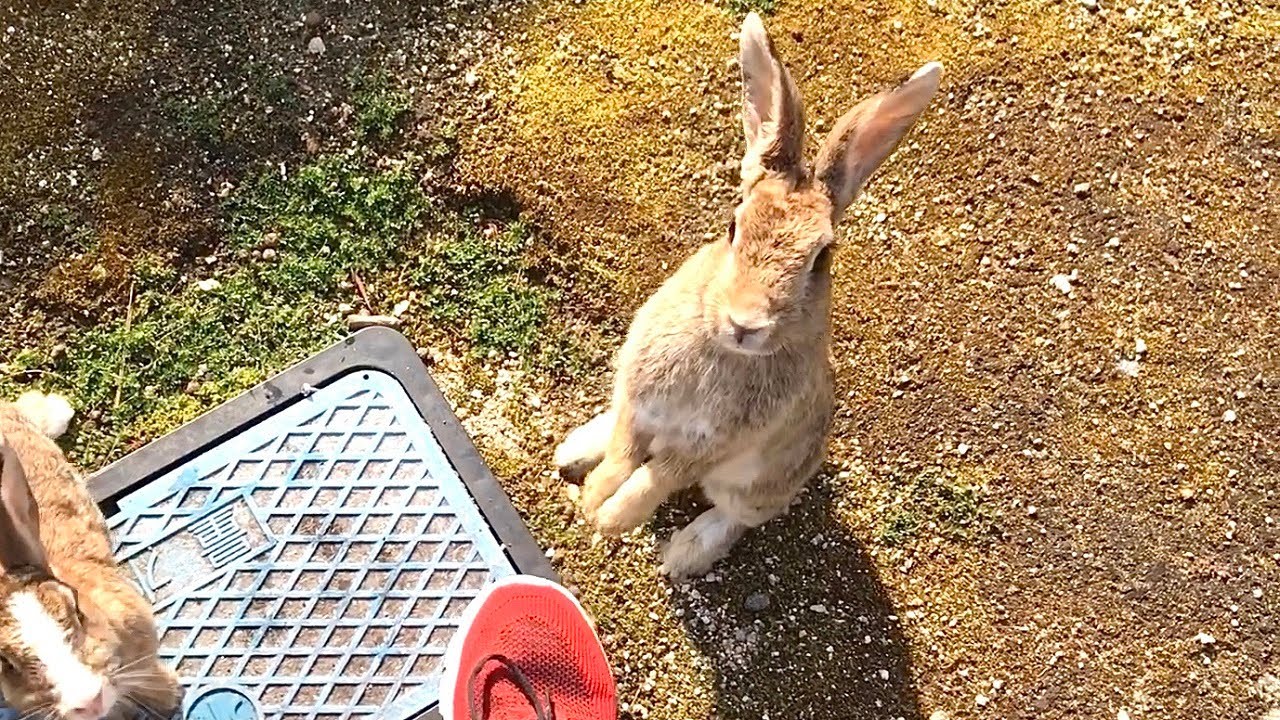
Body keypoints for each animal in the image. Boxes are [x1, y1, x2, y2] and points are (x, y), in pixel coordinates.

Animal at [554, 12, 944, 577]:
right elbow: (625, 453)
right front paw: (593, 501)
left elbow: (655, 477)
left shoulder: (709, 448)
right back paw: (572, 451)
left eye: (823, 256)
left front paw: (609, 519)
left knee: (738, 515)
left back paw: (684, 554)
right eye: (732, 224)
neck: (721, 350)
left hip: (756, 482)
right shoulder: (639, 401)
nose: (746, 323)